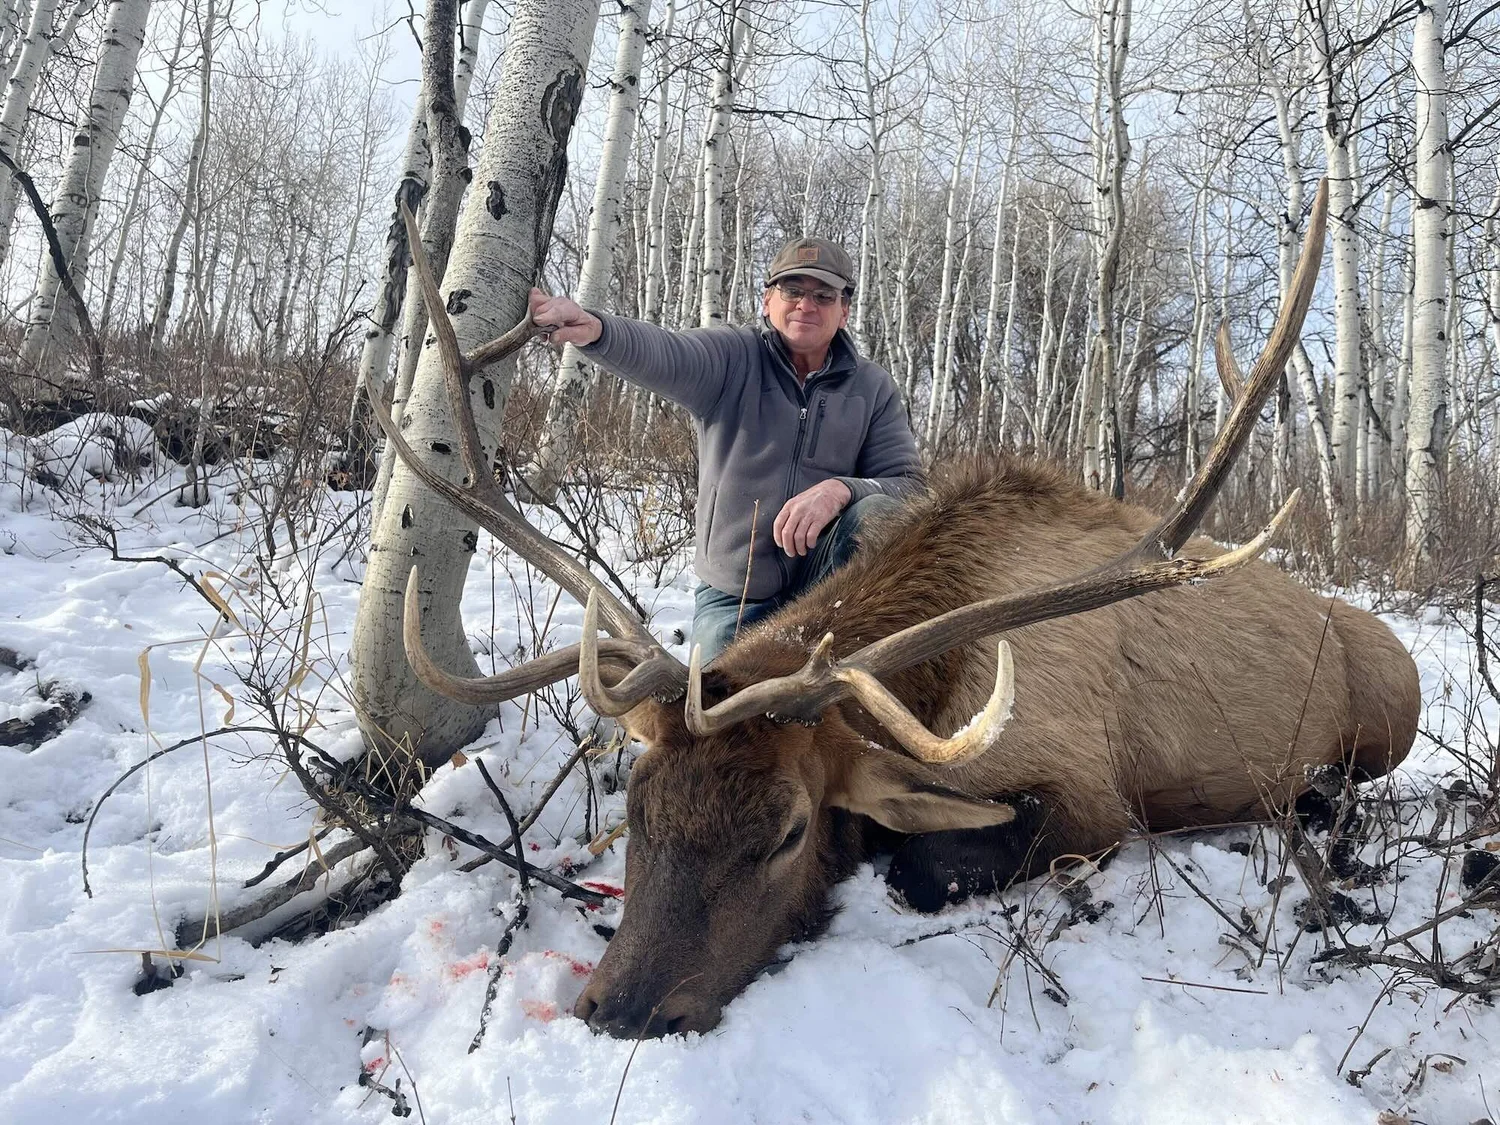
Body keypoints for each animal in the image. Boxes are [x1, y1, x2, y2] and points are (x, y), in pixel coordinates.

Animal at [369, 179, 1420, 1040]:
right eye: (639, 807)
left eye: (789, 830)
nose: (620, 1010)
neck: (939, 676)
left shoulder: (1095, 796)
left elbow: (918, 863)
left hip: (1389, 711)